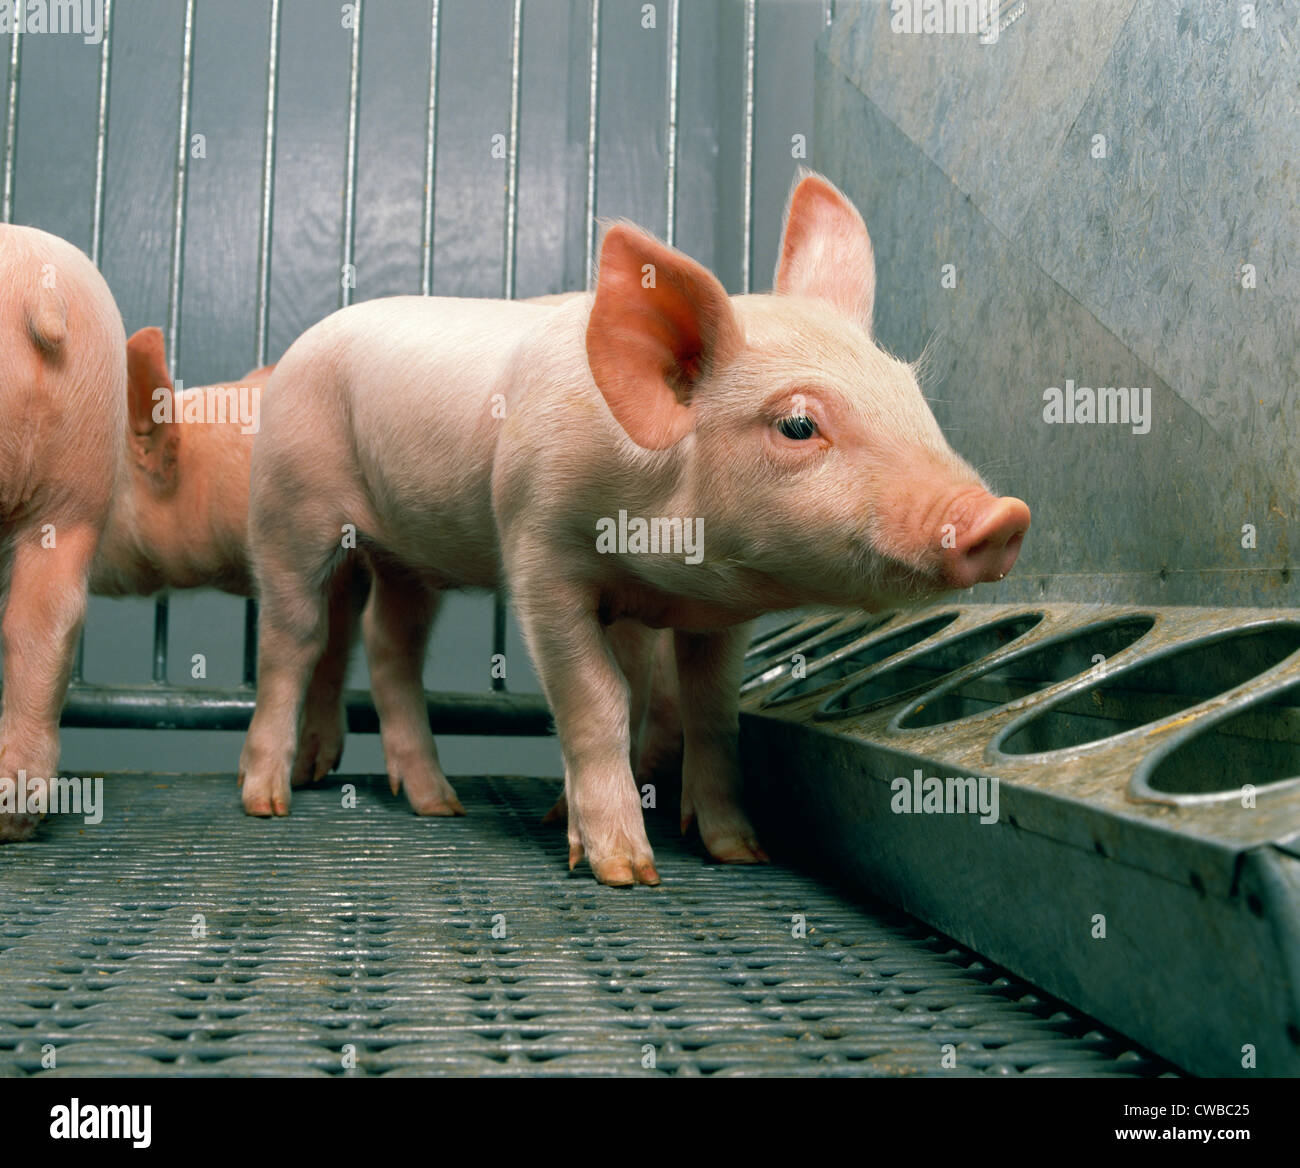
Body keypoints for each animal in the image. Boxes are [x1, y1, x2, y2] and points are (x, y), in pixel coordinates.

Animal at [237, 172, 1029, 885]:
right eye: (798, 425)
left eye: (912, 395)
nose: (1004, 516)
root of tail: (299, 347)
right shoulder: (538, 552)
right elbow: (598, 699)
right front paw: (623, 870)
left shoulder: (713, 613)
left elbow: (705, 709)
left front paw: (738, 852)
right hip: (288, 501)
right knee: (294, 637)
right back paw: (268, 802)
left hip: (406, 555)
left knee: (387, 645)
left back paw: (438, 805)